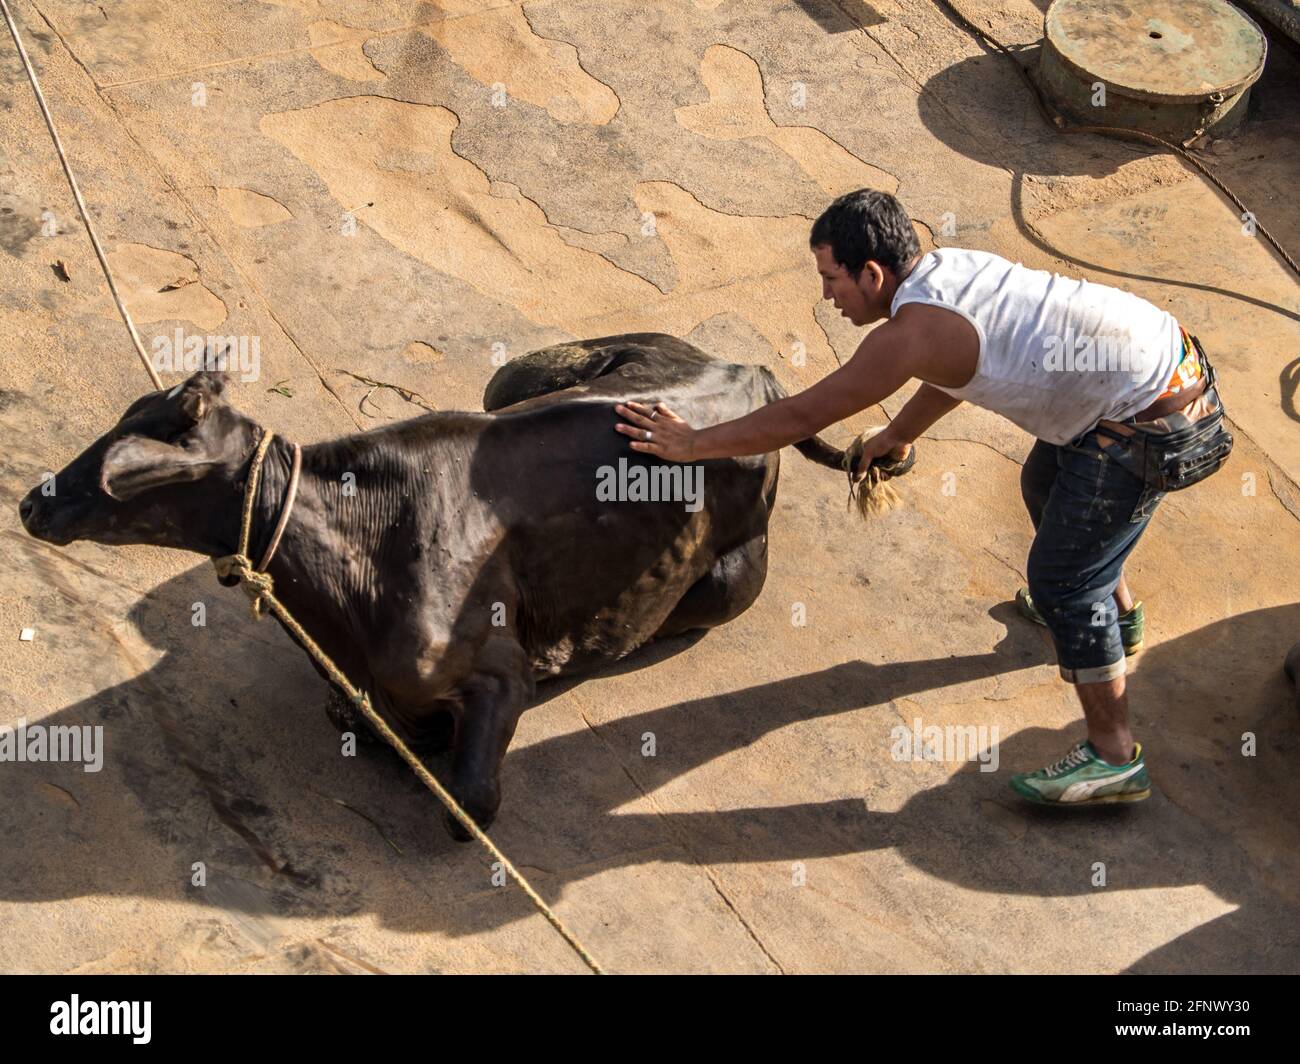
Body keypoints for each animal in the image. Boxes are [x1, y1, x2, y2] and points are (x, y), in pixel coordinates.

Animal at [20, 333, 847, 838]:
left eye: (116, 466)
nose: (33, 502)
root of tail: (750, 372)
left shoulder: (499, 673)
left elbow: (467, 801)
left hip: (732, 586)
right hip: (516, 374)